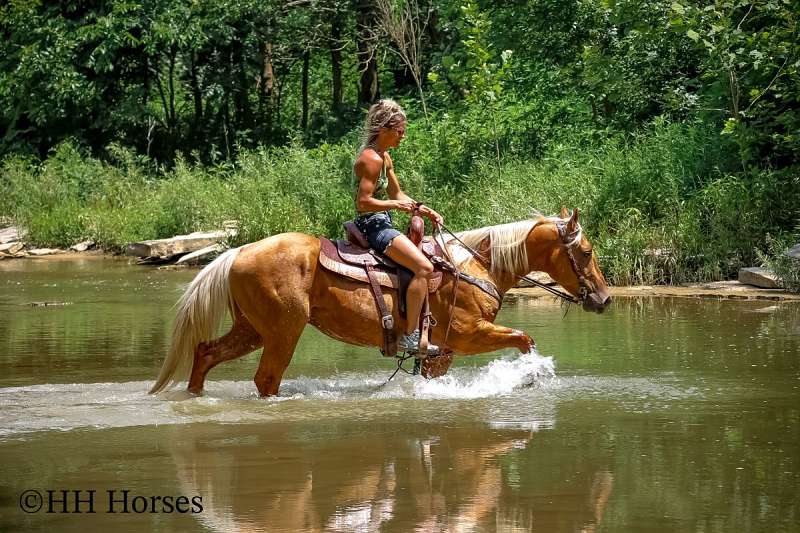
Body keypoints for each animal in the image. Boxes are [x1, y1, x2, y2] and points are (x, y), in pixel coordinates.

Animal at [148, 207, 611, 397]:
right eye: (587, 252)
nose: (605, 299)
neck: (474, 266)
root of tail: (238, 252)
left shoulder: (442, 352)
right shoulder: (467, 336)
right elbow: (524, 338)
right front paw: (532, 375)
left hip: (252, 330)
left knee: (206, 353)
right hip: (283, 331)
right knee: (266, 379)